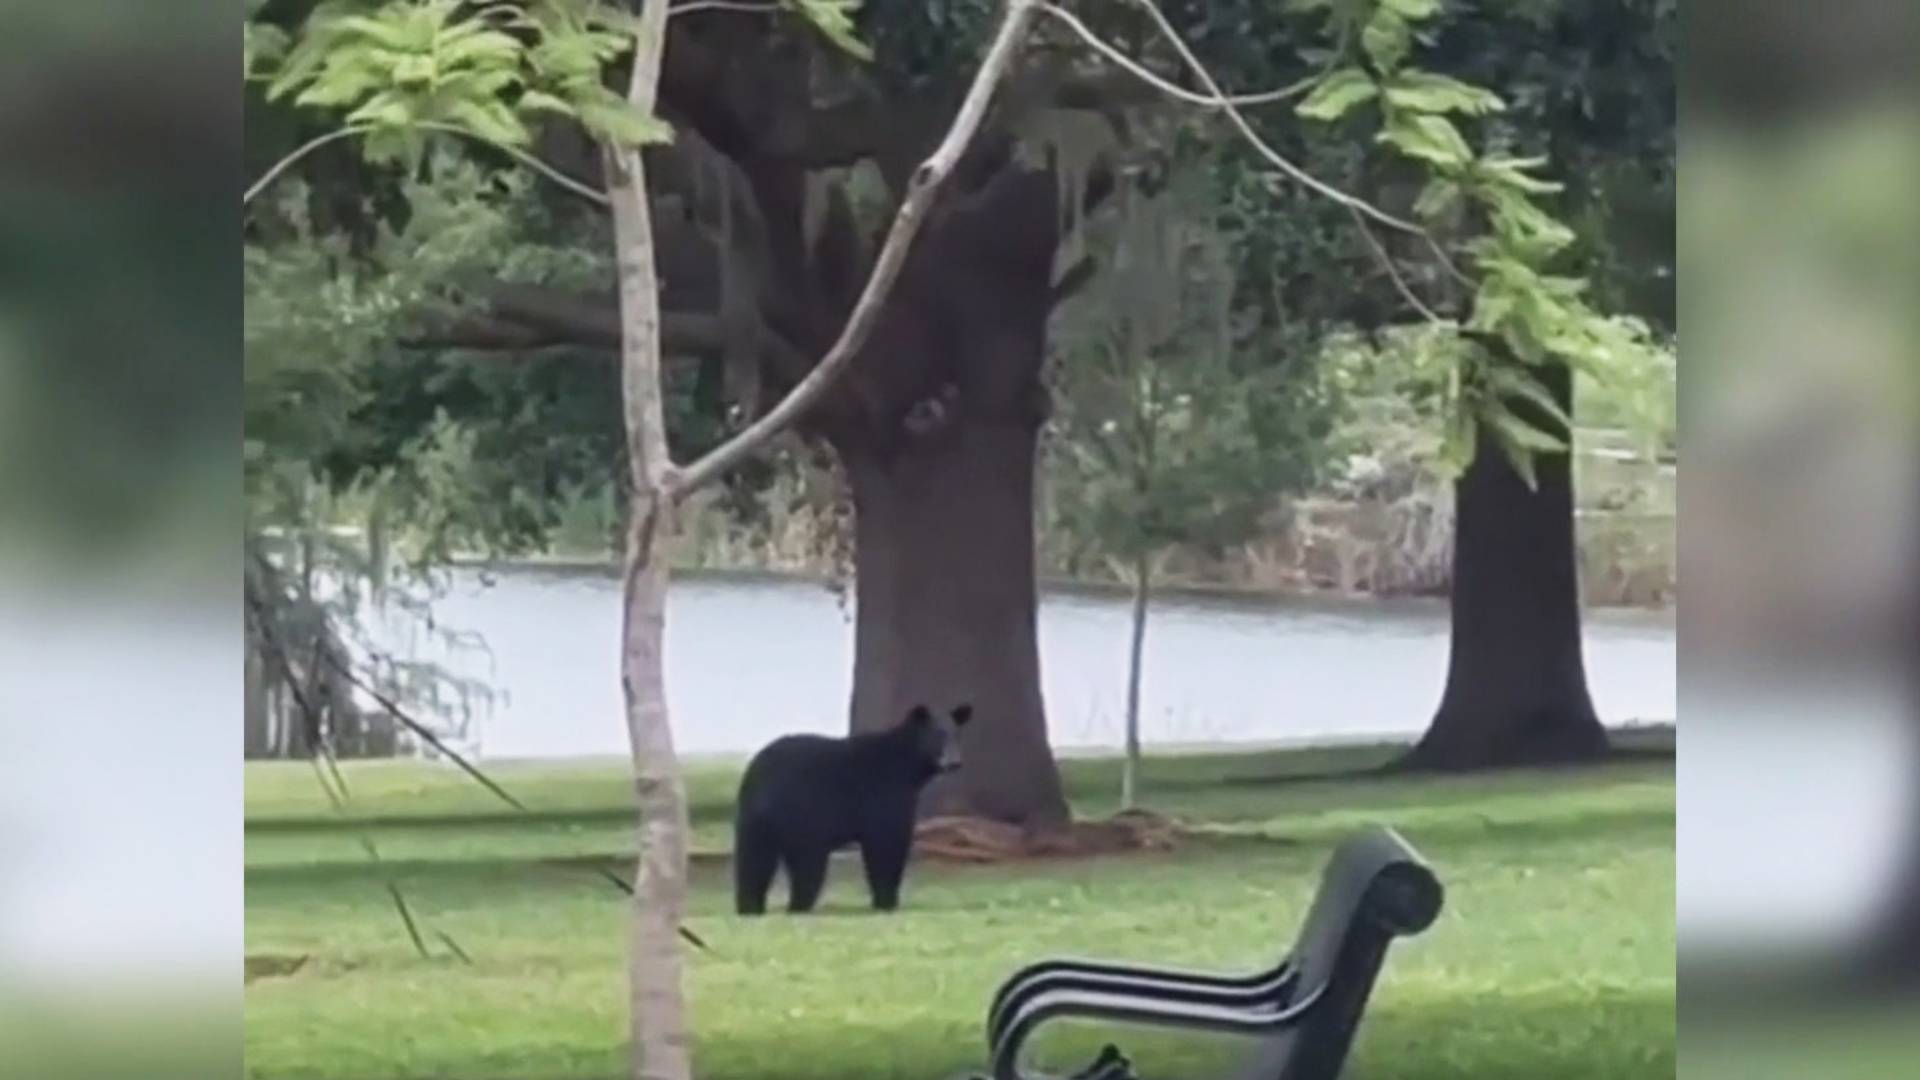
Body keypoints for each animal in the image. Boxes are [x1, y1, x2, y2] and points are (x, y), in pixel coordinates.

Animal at [733, 702, 971, 915]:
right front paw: (886, 902)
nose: (954, 762)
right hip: (804, 815)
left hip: (752, 819)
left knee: (752, 861)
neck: (906, 766)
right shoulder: (885, 793)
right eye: (938, 735)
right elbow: (887, 843)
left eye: (955, 734)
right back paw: (798, 906)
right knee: (807, 864)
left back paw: (750, 908)